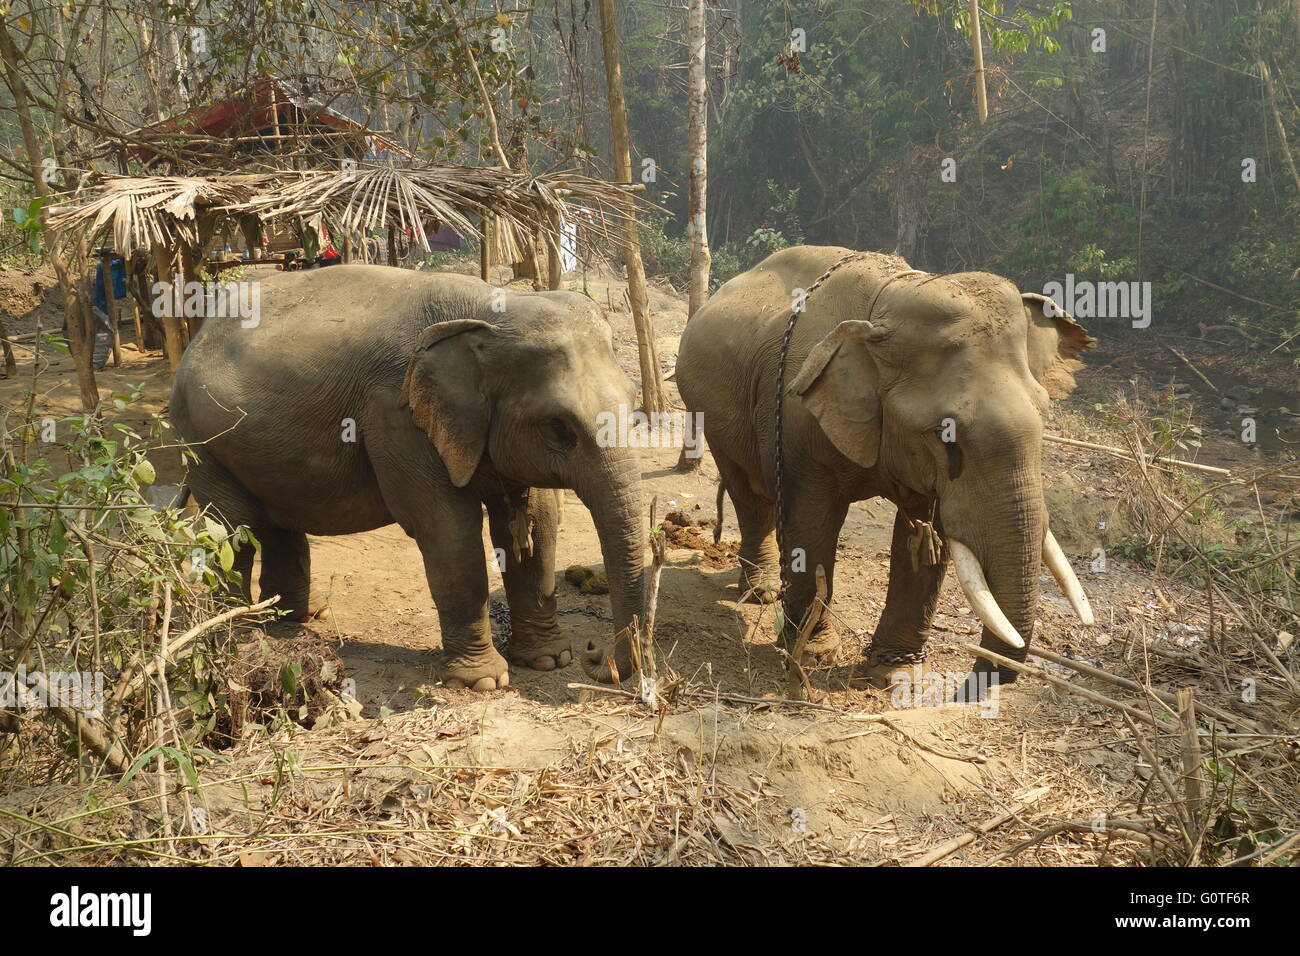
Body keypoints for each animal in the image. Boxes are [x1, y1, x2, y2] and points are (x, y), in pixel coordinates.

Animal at [170, 264, 646, 691]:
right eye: (559, 428)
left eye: (634, 401)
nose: (594, 654)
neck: (490, 311)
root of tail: (196, 340)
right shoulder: (395, 415)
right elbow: (448, 530)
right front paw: (483, 683)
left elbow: (537, 526)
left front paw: (549, 660)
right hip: (201, 442)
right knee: (233, 528)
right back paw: (238, 632)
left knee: (276, 524)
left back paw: (292, 618)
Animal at [674, 246, 1096, 686]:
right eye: (945, 436)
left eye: (1045, 415)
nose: (970, 684)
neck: (890, 298)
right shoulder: (797, 419)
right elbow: (811, 522)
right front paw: (813, 655)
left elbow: (927, 536)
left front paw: (894, 673)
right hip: (707, 408)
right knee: (750, 495)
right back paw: (762, 592)